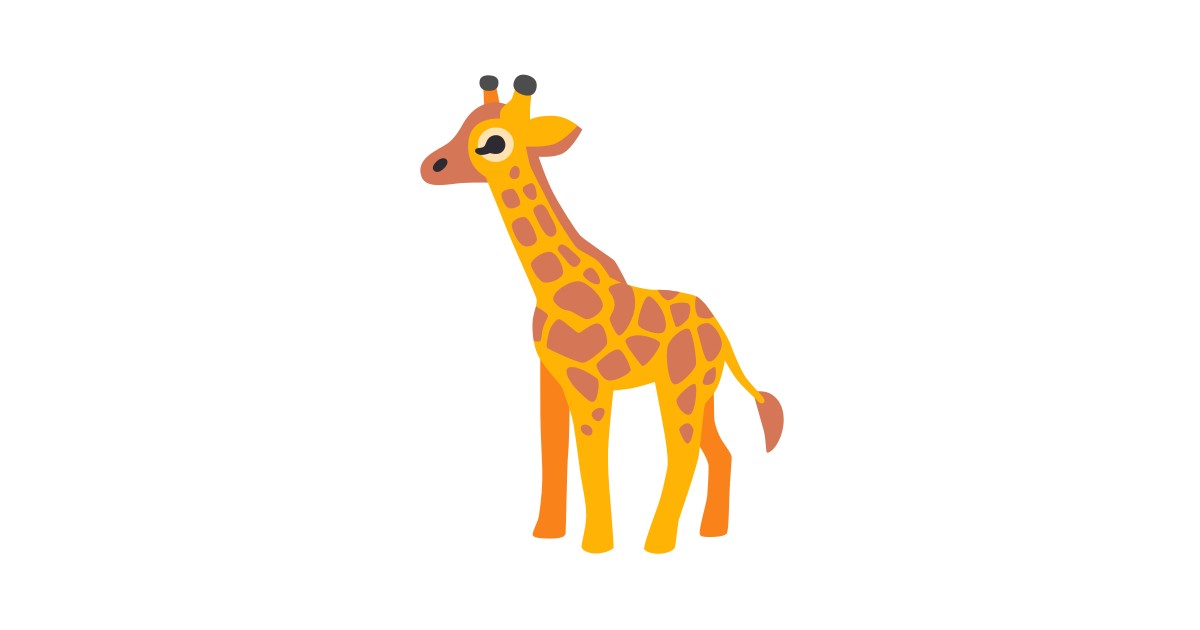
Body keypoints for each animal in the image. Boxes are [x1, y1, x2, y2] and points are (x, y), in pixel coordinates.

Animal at [420, 75, 784, 553]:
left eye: (493, 142)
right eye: (462, 123)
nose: (432, 167)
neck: (553, 291)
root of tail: (722, 332)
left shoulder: (590, 384)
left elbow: (592, 458)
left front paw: (596, 544)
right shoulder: (551, 378)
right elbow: (552, 452)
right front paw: (547, 533)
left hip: (681, 385)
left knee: (682, 451)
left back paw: (658, 542)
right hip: (704, 388)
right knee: (719, 451)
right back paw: (712, 531)